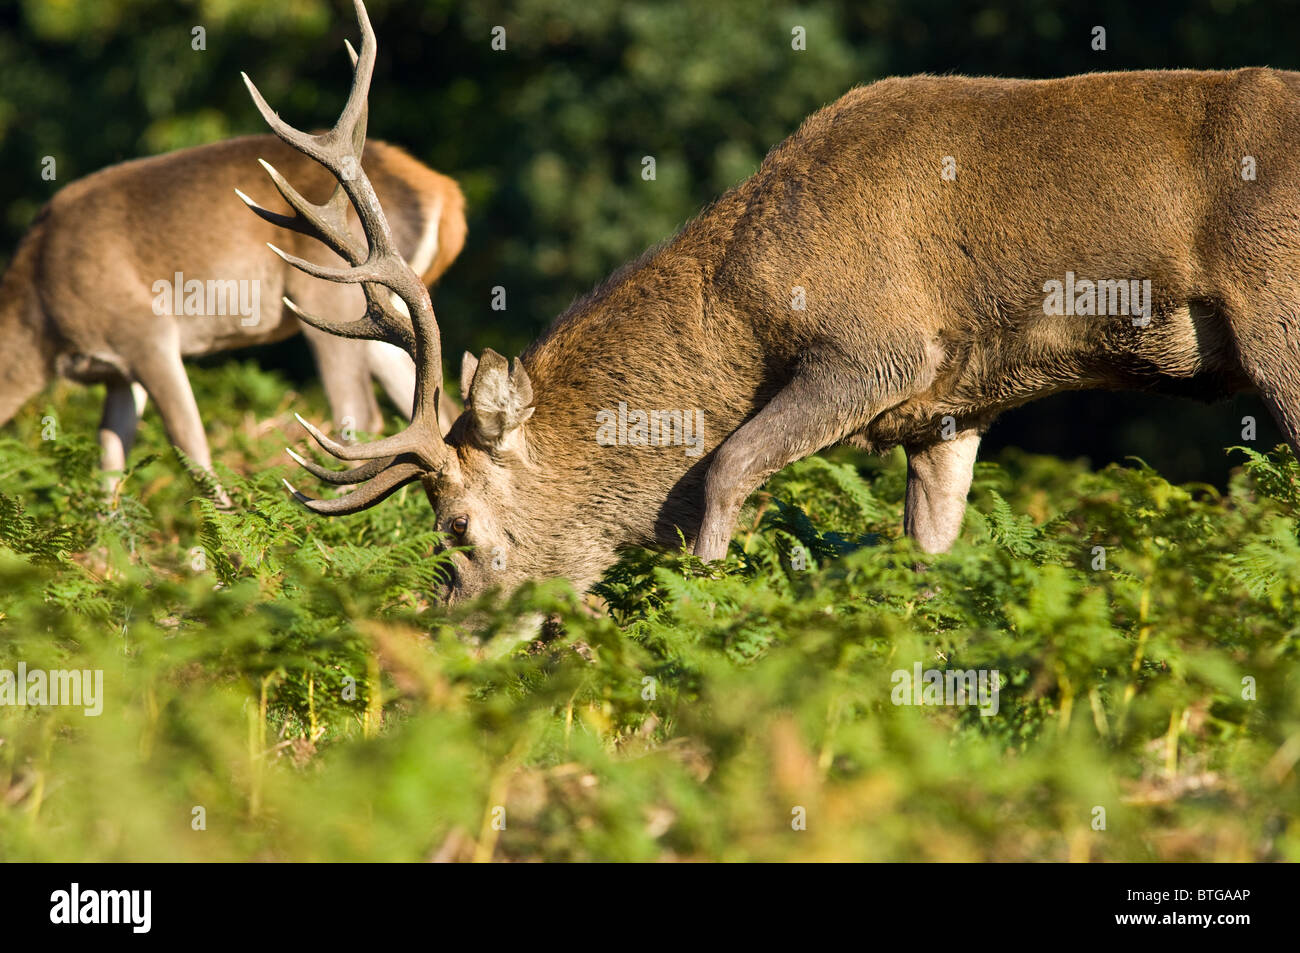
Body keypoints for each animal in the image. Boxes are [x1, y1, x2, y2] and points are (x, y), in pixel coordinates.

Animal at [0, 122, 465, 501]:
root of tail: (445, 193)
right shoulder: (116, 373)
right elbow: (109, 470)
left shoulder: (146, 333)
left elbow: (194, 450)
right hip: (379, 319)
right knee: (437, 409)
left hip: (329, 300)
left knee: (357, 416)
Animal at [251, 0, 1300, 604]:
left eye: (458, 529)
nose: (451, 629)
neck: (748, 299)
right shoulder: (950, 411)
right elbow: (927, 553)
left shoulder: (878, 346)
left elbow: (721, 472)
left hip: (1277, 322)